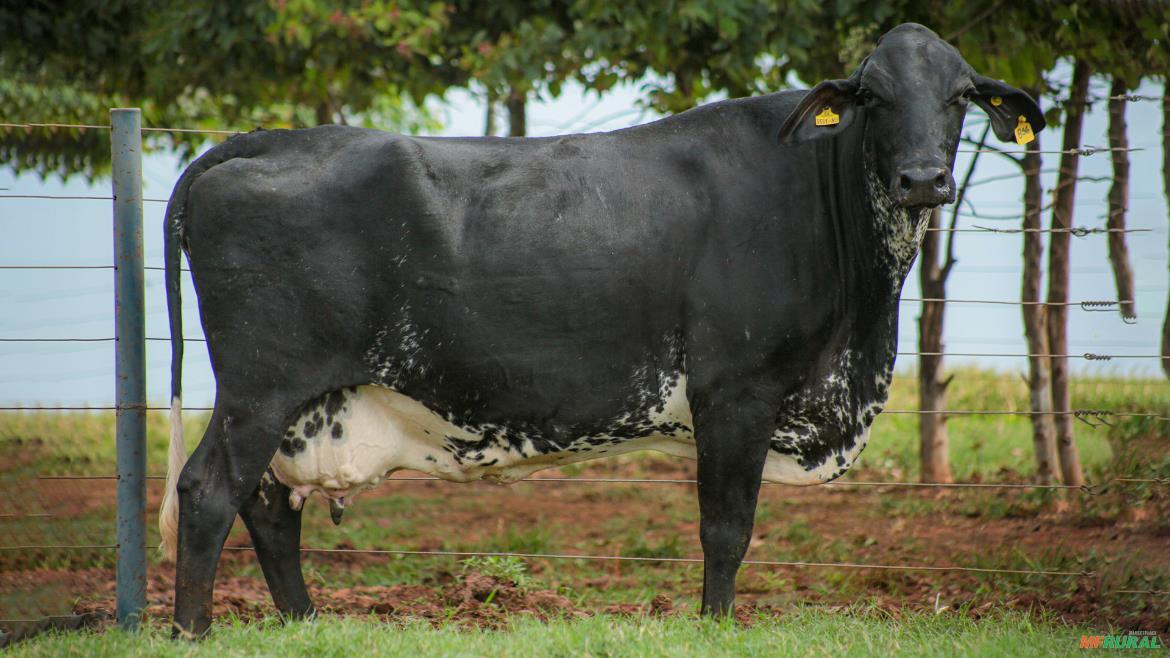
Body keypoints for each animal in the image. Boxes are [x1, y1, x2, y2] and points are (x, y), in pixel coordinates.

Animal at [158, 23, 1044, 635]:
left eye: (960, 96)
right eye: (874, 96)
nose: (924, 179)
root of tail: (266, 138)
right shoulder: (737, 392)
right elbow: (726, 528)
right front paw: (716, 626)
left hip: (300, 401)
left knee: (270, 504)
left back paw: (304, 624)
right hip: (261, 385)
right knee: (209, 492)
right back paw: (192, 631)